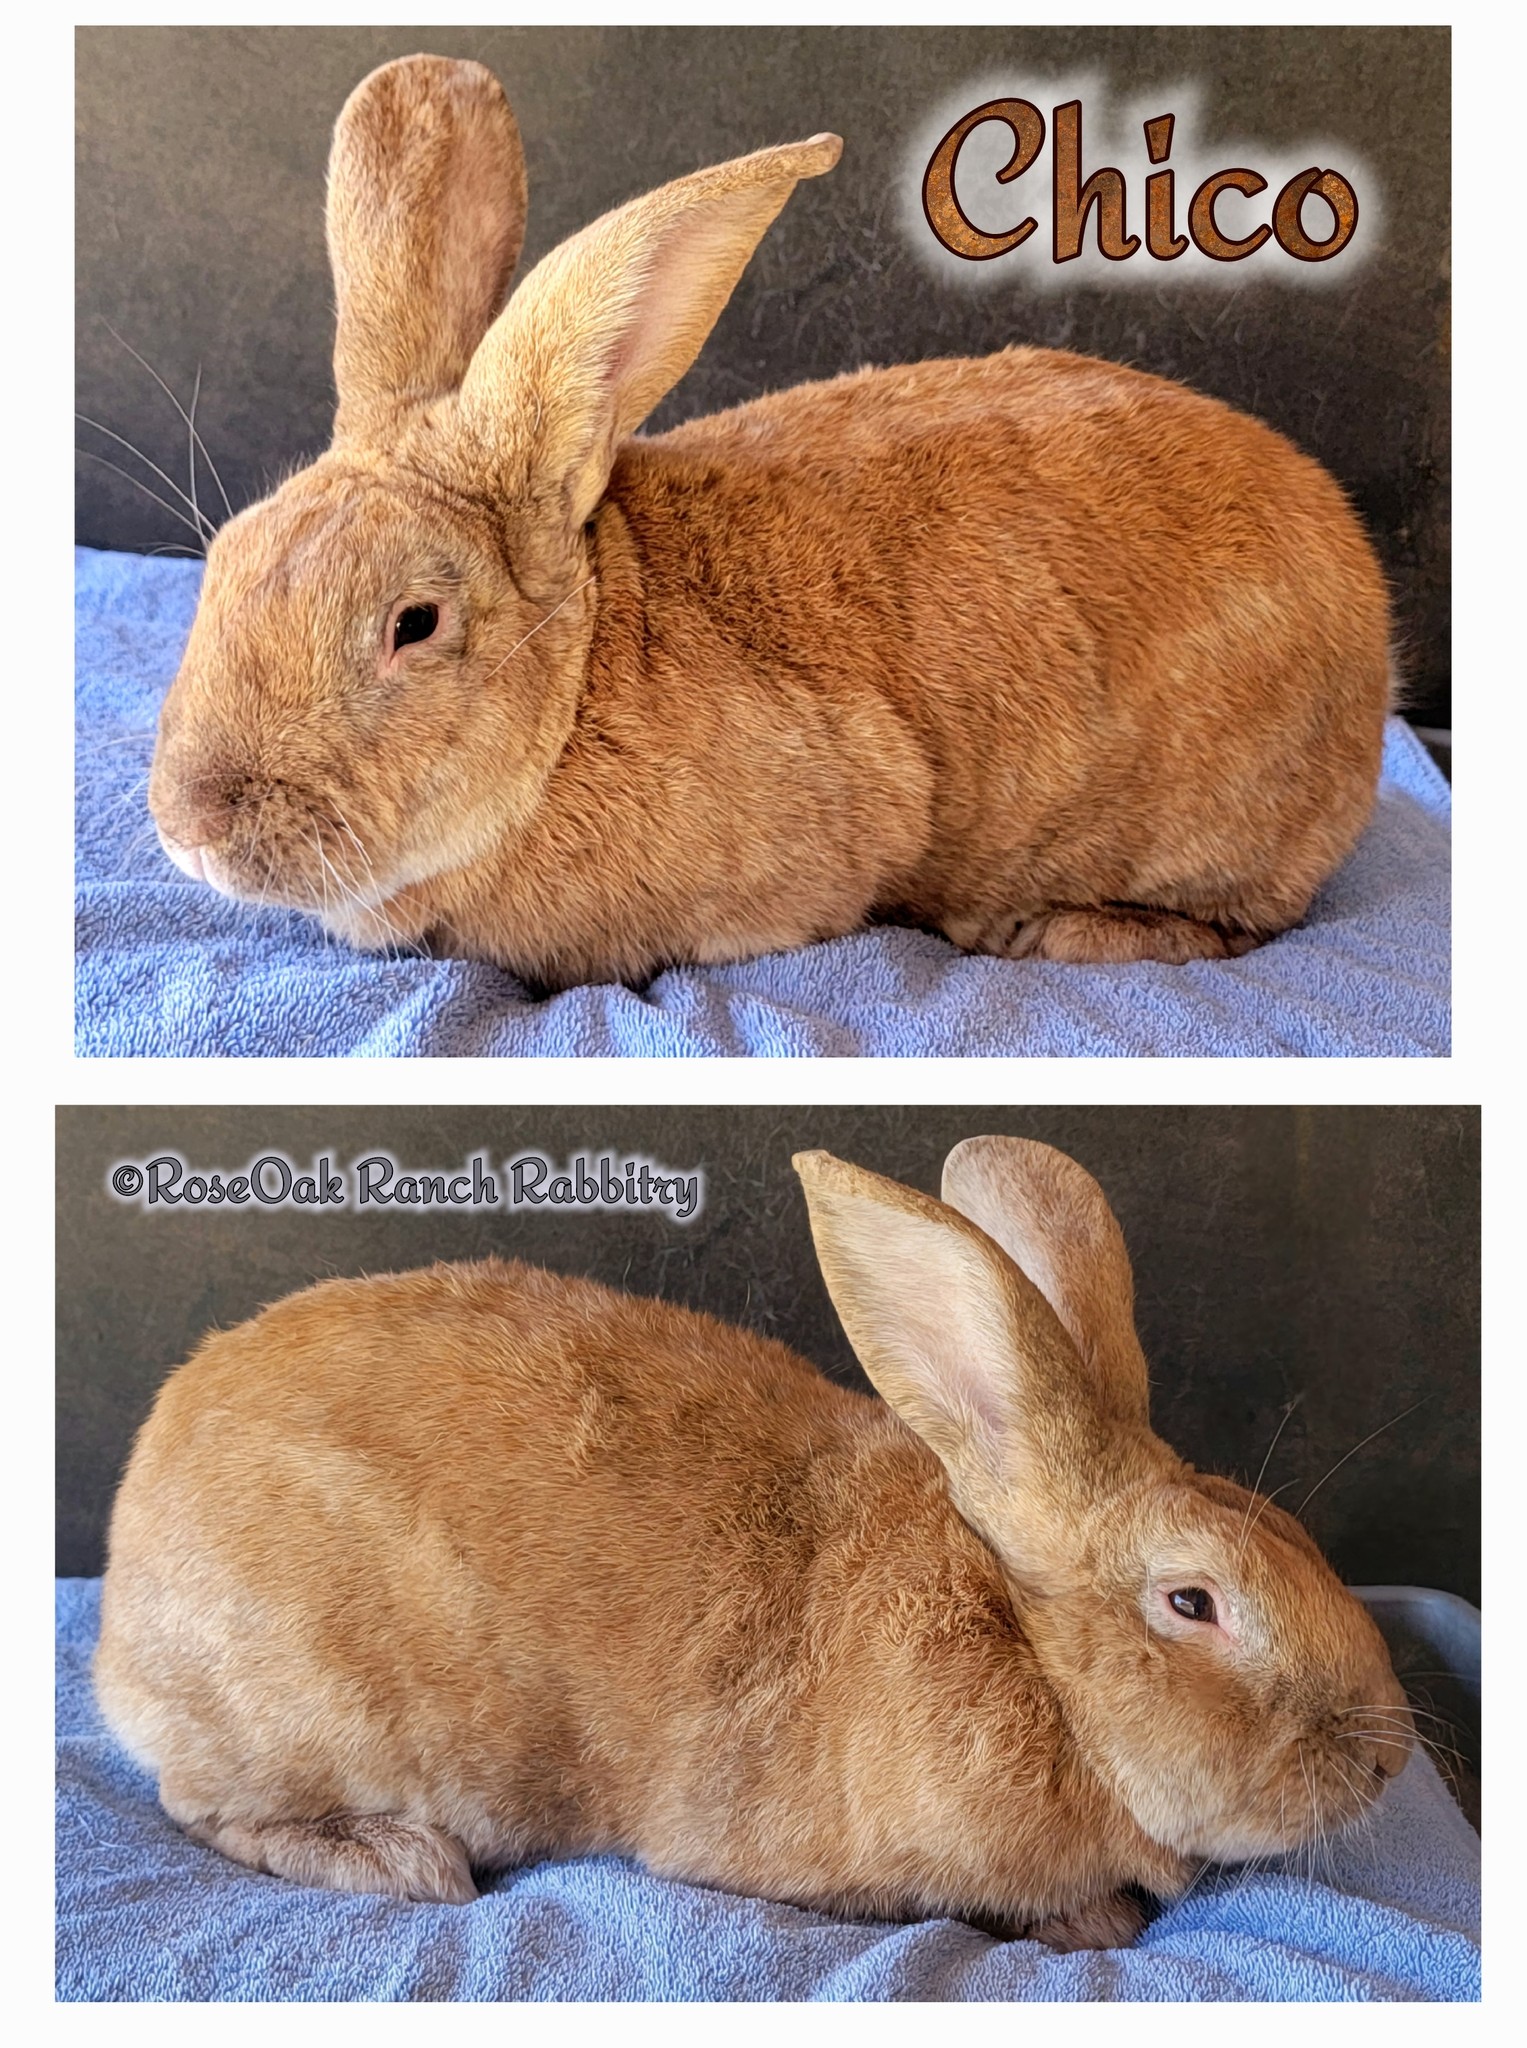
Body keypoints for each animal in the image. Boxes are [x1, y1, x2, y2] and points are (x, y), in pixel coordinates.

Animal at [95, 1137, 1413, 1949]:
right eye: (1194, 1602)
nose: (1389, 1761)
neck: (1039, 1663)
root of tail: (119, 1604)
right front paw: (1100, 1921)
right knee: (201, 1807)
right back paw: (403, 1860)